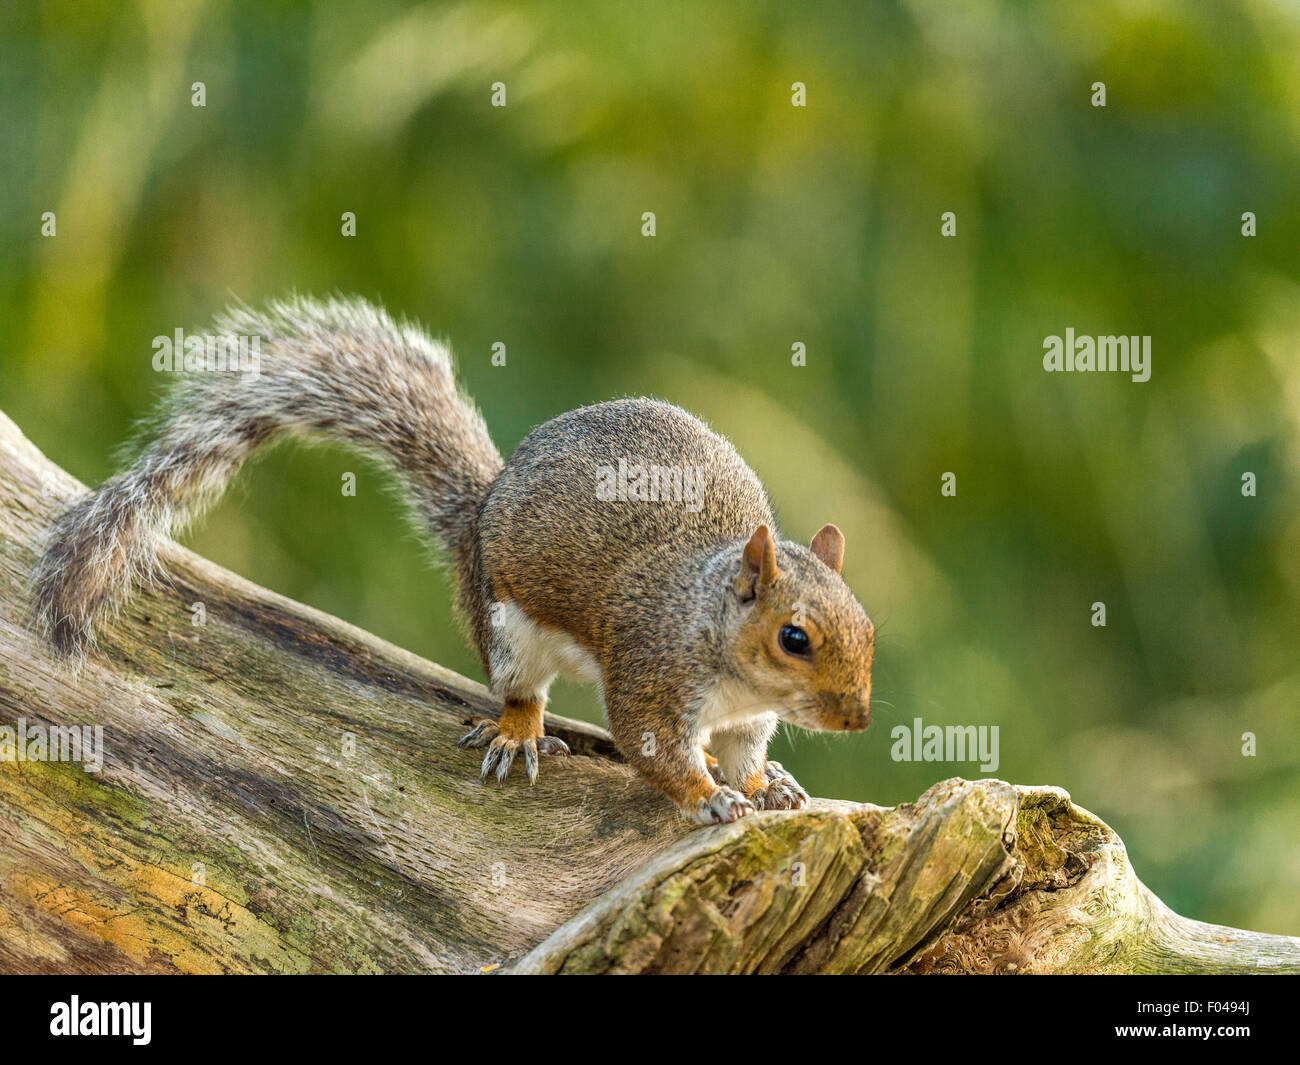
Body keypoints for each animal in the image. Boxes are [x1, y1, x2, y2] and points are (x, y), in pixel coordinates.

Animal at [32, 296, 874, 825]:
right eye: (794, 638)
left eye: (868, 630)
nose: (858, 719)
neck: (718, 644)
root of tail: (481, 512)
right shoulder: (652, 670)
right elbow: (652, 747)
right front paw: (708, 797)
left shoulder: (746, 720)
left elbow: (744, 755)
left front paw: (766, 784)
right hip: (504, 622)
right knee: (517, 687)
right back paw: (520, 731)